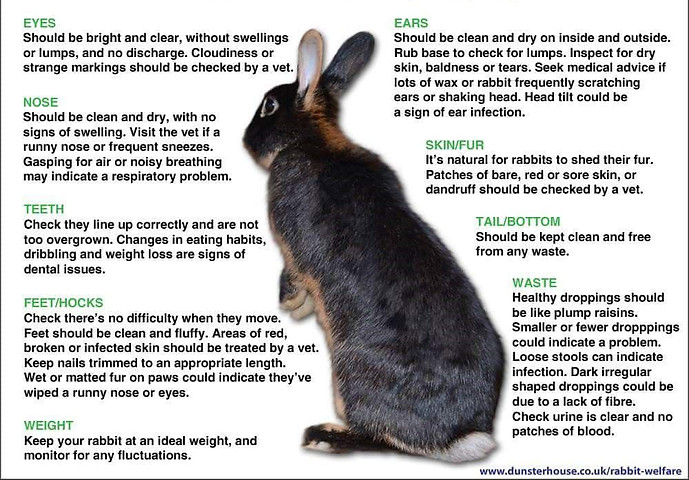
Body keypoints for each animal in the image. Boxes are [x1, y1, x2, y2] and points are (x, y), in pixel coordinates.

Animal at [243, 29, 504, 463]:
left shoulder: (292, 248)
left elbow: (293, 275)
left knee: (379, 437)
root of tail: (456, 436)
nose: (246, 139)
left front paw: (290, 304)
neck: (314, 142)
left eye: (269, 106)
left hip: (349, 376)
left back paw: (324, 435)